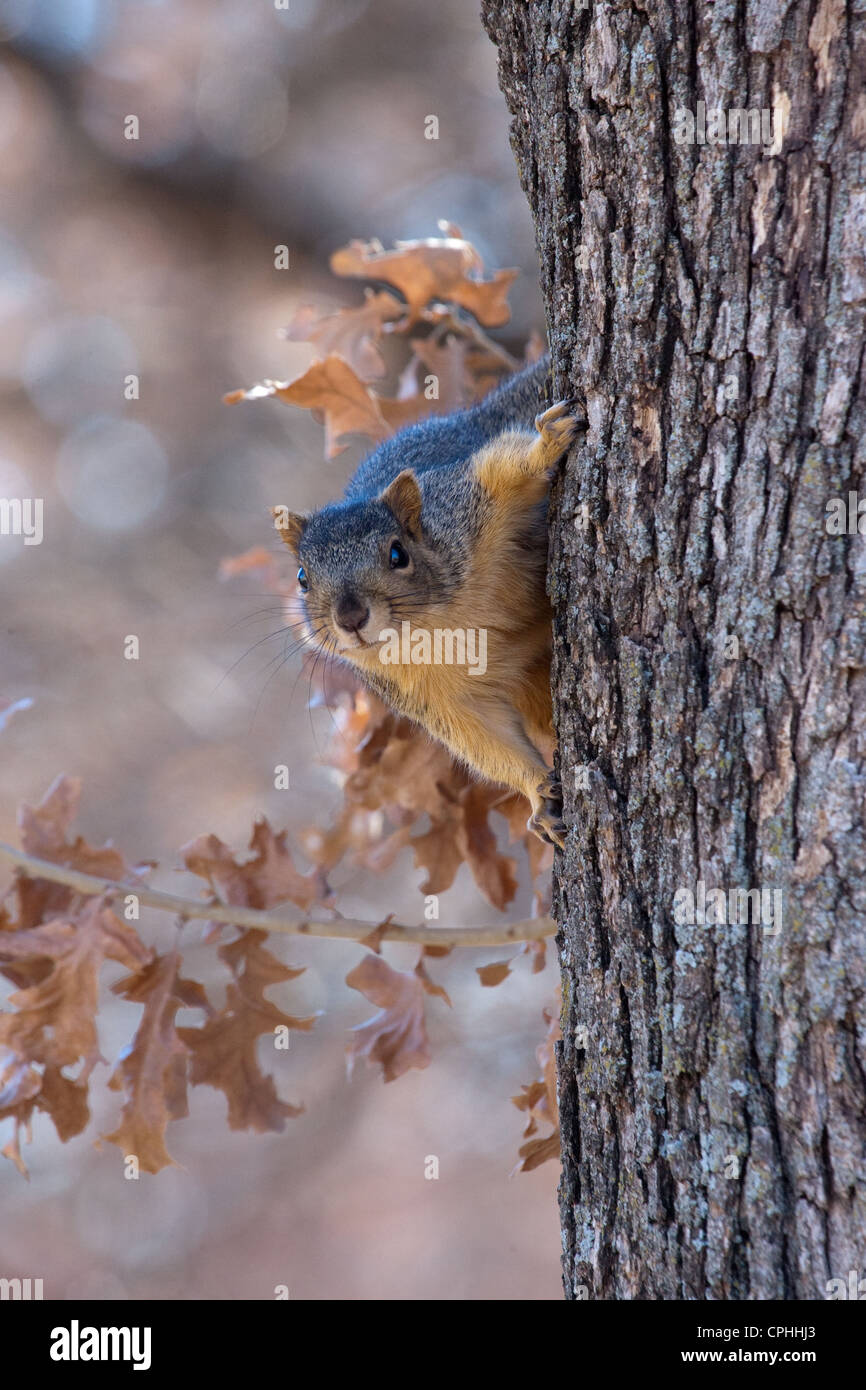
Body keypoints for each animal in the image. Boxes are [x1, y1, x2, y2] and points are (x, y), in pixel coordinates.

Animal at [272, 356, 585, 847]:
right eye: (303, 578)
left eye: (398, 554)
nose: (351, 618)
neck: (438, 626)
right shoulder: (436, 700)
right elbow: (483, 741)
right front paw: (538, 796)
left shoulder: (465, 507)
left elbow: (506, 469)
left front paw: (548, 442)